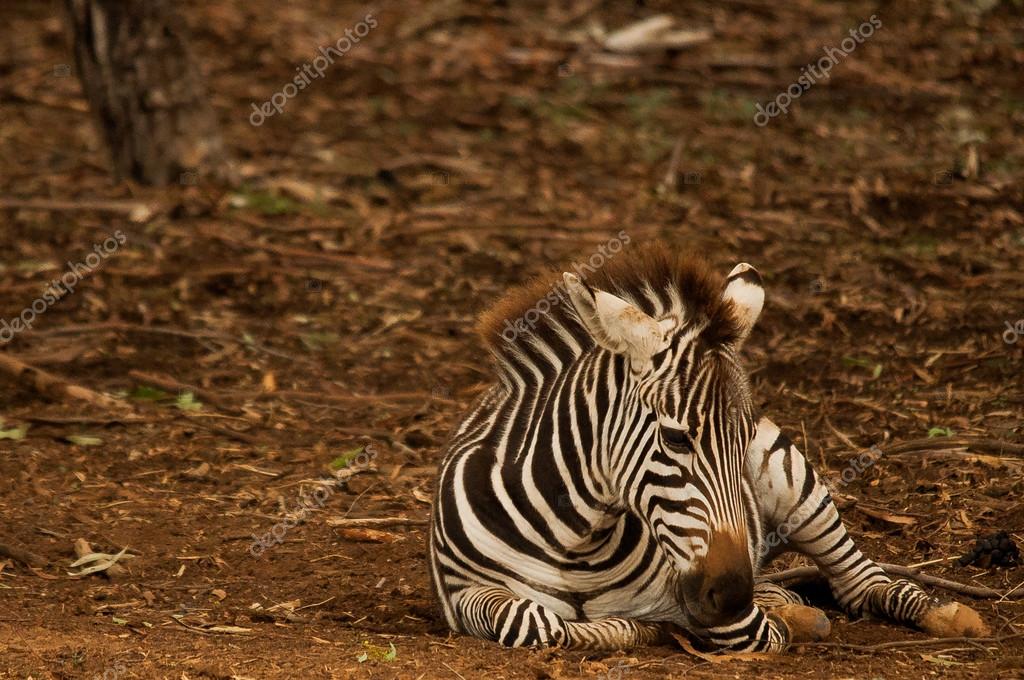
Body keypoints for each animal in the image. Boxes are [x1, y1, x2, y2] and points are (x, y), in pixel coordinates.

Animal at [428, 242, 988, 652]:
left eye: (740, 444)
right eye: (676, 437)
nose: (733, 594)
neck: (579, 543)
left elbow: (760, 633)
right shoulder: (461, 592)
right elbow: (533, 621)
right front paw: (630, 628)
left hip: (796, 483)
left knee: (860, 577)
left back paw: (942, 612)